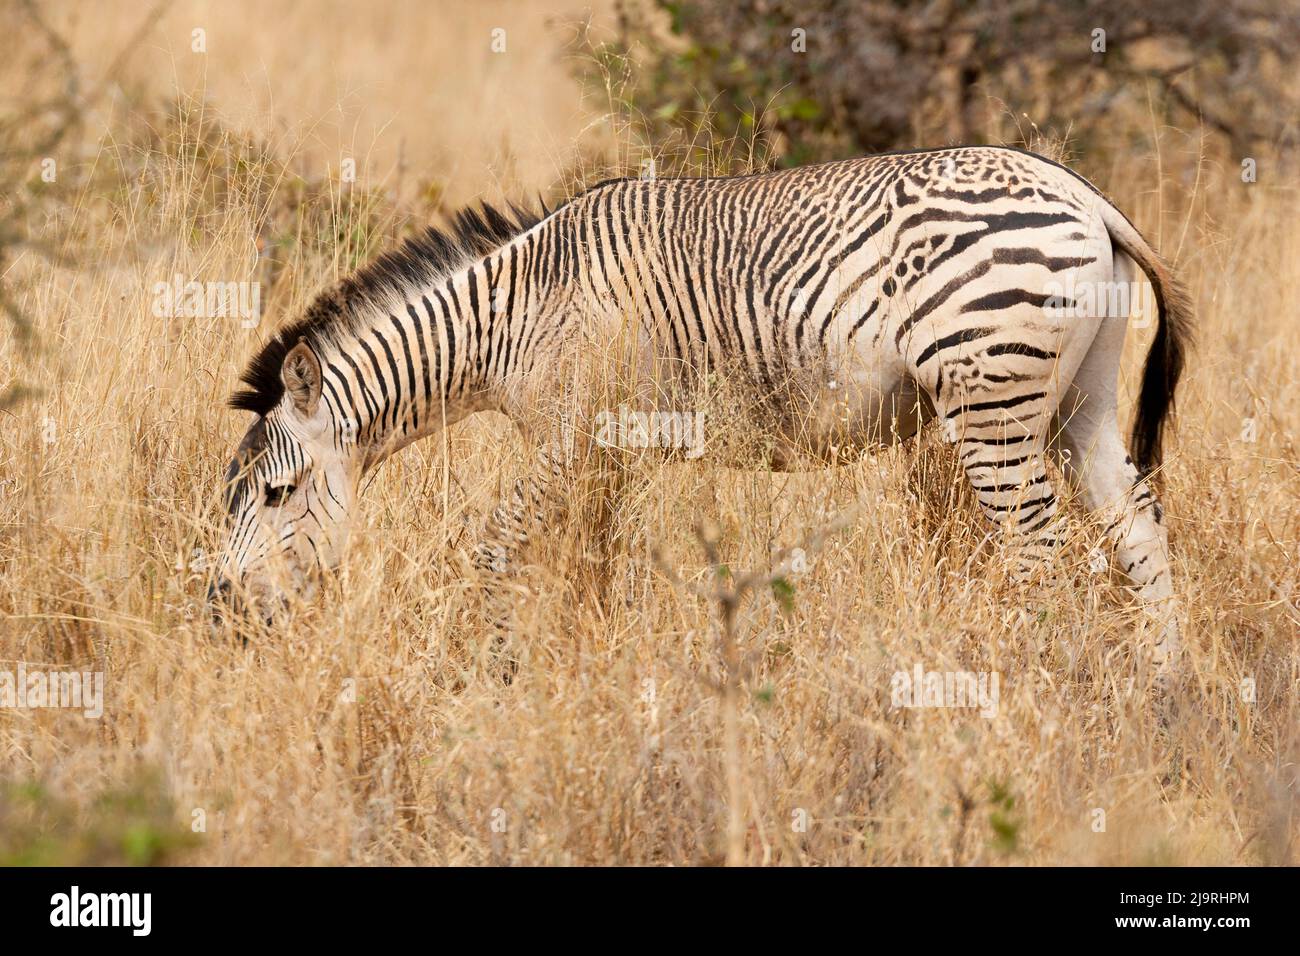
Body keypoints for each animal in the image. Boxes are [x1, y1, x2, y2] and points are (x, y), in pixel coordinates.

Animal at [210, 146, 1191, 683]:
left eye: (276, 494)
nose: (224, 615)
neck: (519, 313)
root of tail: (1084, 196)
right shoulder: (606, 458)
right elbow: (590, 565)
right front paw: (589, 664)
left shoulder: (573, 440)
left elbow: (499, 547)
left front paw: (496, 671)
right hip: (1079, 401)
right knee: (1137, 527)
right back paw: (1158, 699)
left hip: (992, 402)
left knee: (1040, 551)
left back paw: (1038, 686)